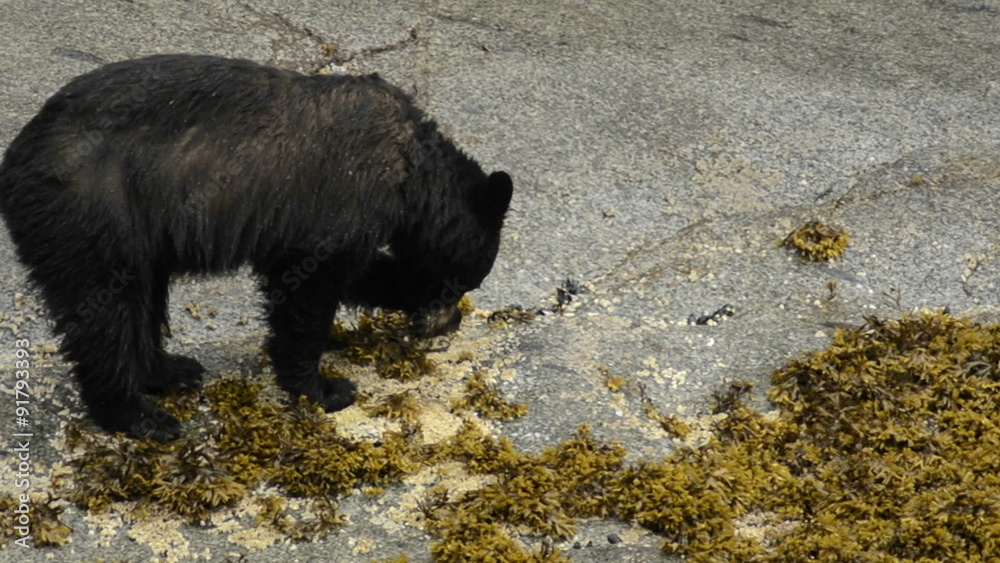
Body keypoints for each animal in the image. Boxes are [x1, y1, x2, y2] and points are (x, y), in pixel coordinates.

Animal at [0, 54, 513, 442]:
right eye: (469, 277)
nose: (451, 307)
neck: (411, 169)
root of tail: (16, 158)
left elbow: (348, 273)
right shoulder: (338, 197)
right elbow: (309, 288)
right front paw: (324, 388)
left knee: (141, 296)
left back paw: (169, 369)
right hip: (93, 213)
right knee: (104, 314)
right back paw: (138, 415)